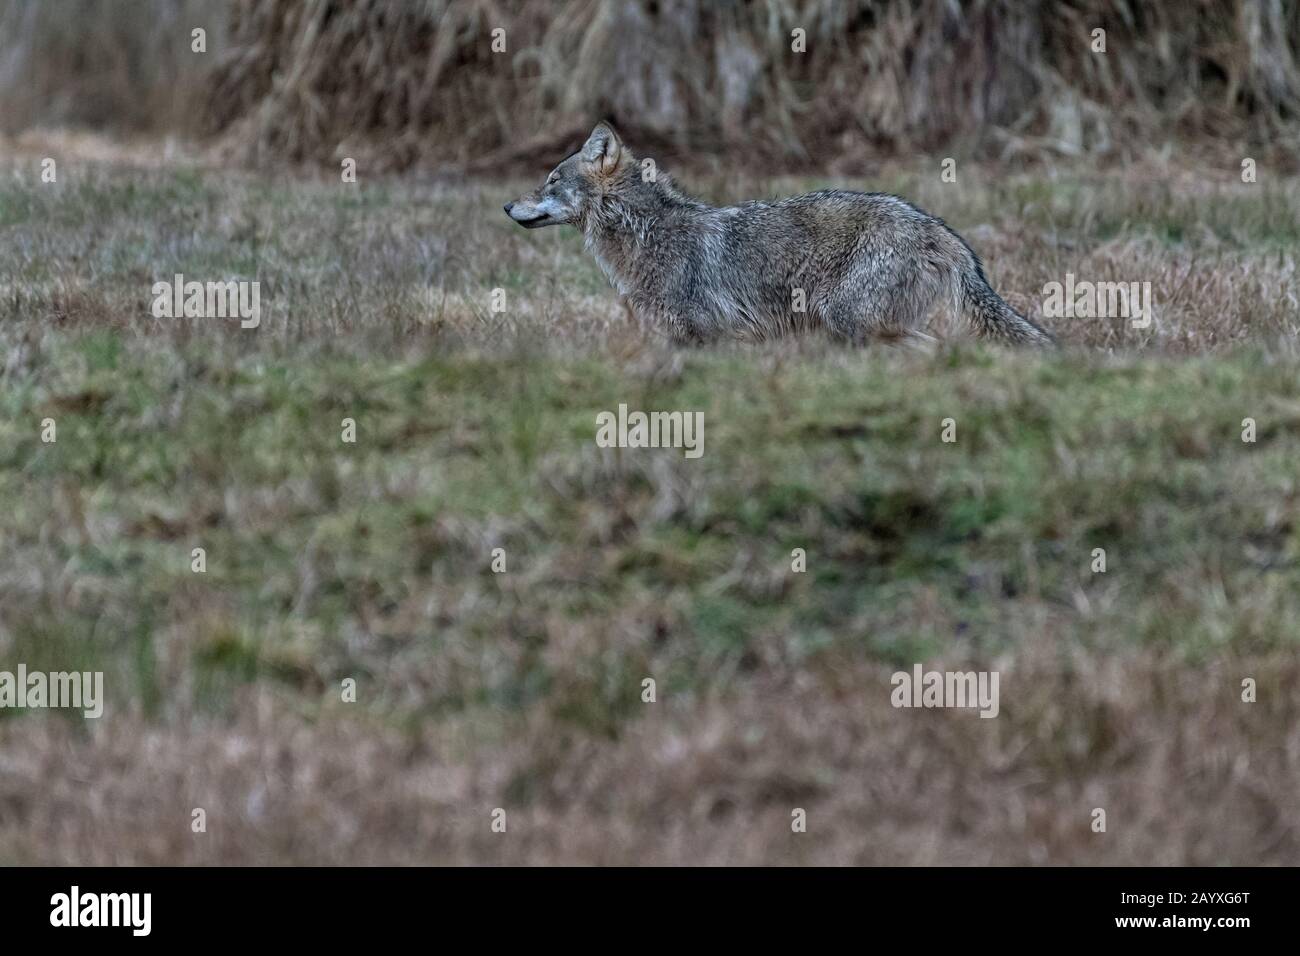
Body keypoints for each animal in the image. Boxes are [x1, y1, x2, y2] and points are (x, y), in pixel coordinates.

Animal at [505, 123, 1053, 347]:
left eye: (550, 181)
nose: (506, 205)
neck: (647, 235)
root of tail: (941, 230)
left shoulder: (705, 333)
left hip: (850, 322)